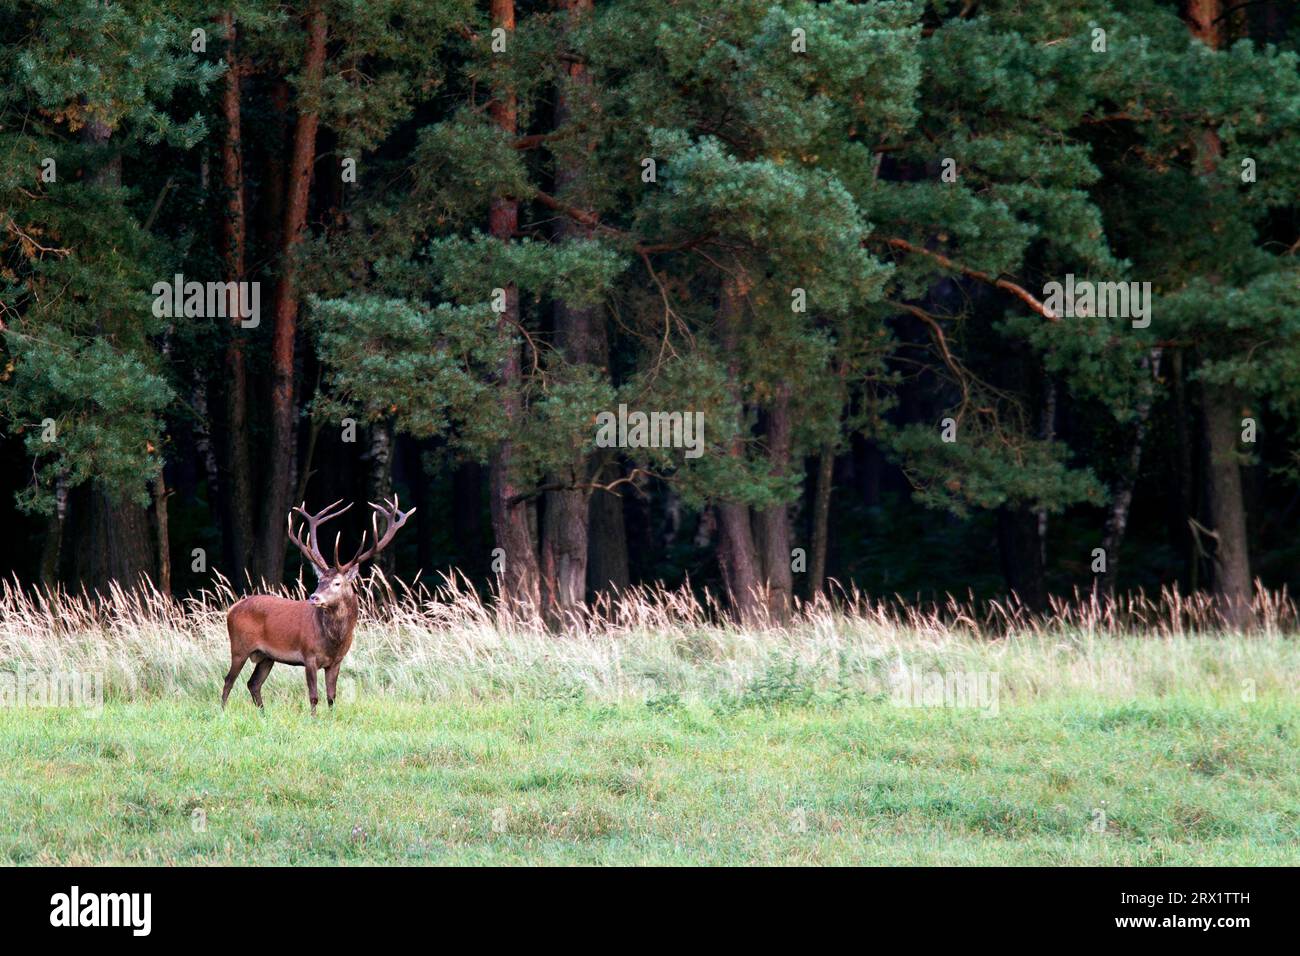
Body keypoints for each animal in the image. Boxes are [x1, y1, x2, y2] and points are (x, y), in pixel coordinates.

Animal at [222, 496, 414, 714]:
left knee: (253, 683)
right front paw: (313, 718)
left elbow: (331, 696)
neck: (333, 641)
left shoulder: (337, 661)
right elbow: (314, 696)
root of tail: (232, 609)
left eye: (337, 583)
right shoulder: (309, 655)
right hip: (239, 646)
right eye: (319, 580)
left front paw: (331, 718)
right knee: (229, 680)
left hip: (266, 656)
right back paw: (223, 712)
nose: (314, 597)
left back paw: (263, 714)